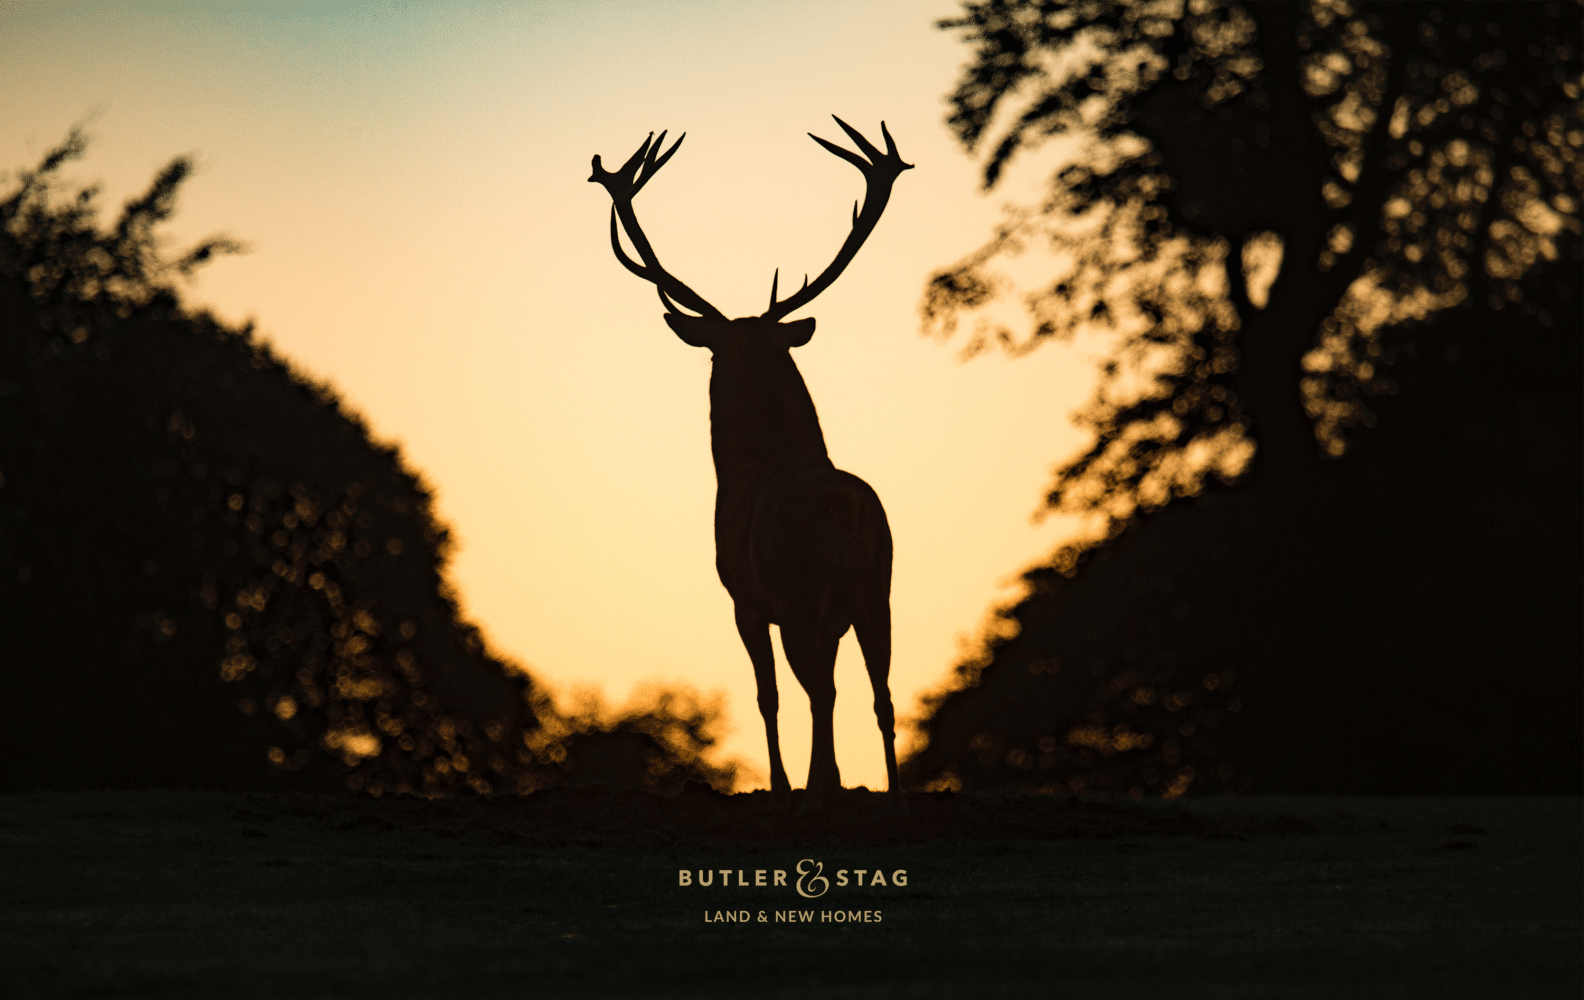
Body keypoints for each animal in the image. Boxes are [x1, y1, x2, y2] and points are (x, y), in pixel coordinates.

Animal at [589, 117, 912, 813]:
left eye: (716, 352)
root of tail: (841, 516)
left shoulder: (742, 595)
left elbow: (766, 695)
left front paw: (784, 784)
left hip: (799, 592)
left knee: (819, 690)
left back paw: (819, 787)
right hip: (878, 587)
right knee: (881, 694)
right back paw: (893, 794)